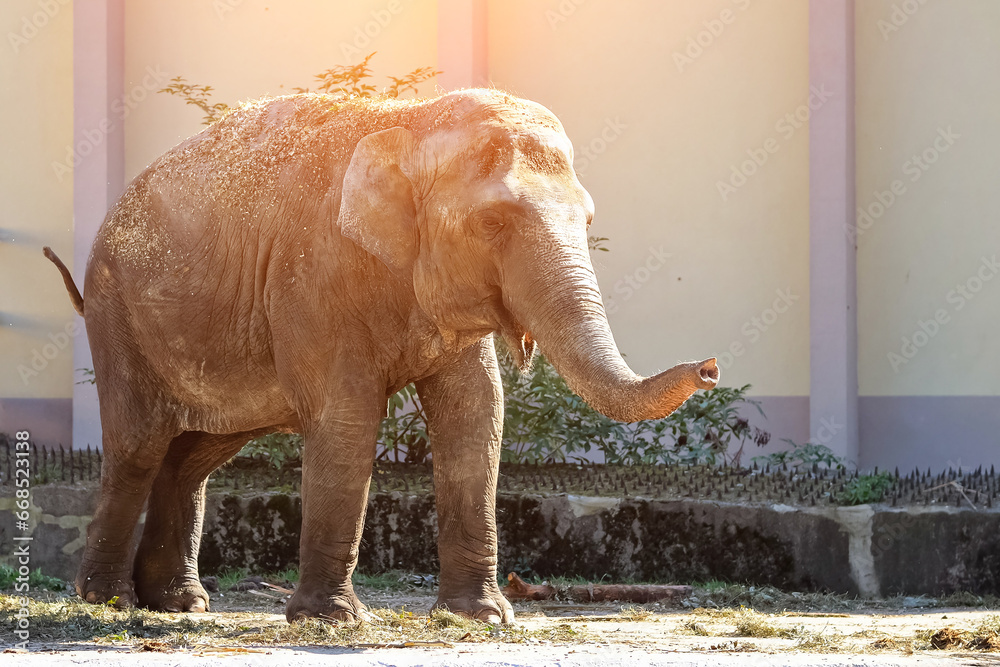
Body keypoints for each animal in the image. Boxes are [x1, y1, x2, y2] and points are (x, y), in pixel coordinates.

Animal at [45, 88, 719, 624]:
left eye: (587, 218)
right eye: (493, 223)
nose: (708, 368)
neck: (410, 122)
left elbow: (477, 411)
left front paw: (482, 618)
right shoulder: (311, 276)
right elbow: (347, 416)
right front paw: (333, 621)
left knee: (195, 456)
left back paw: (180, 605)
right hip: (118, 318)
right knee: (139, 447)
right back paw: (109, 600)